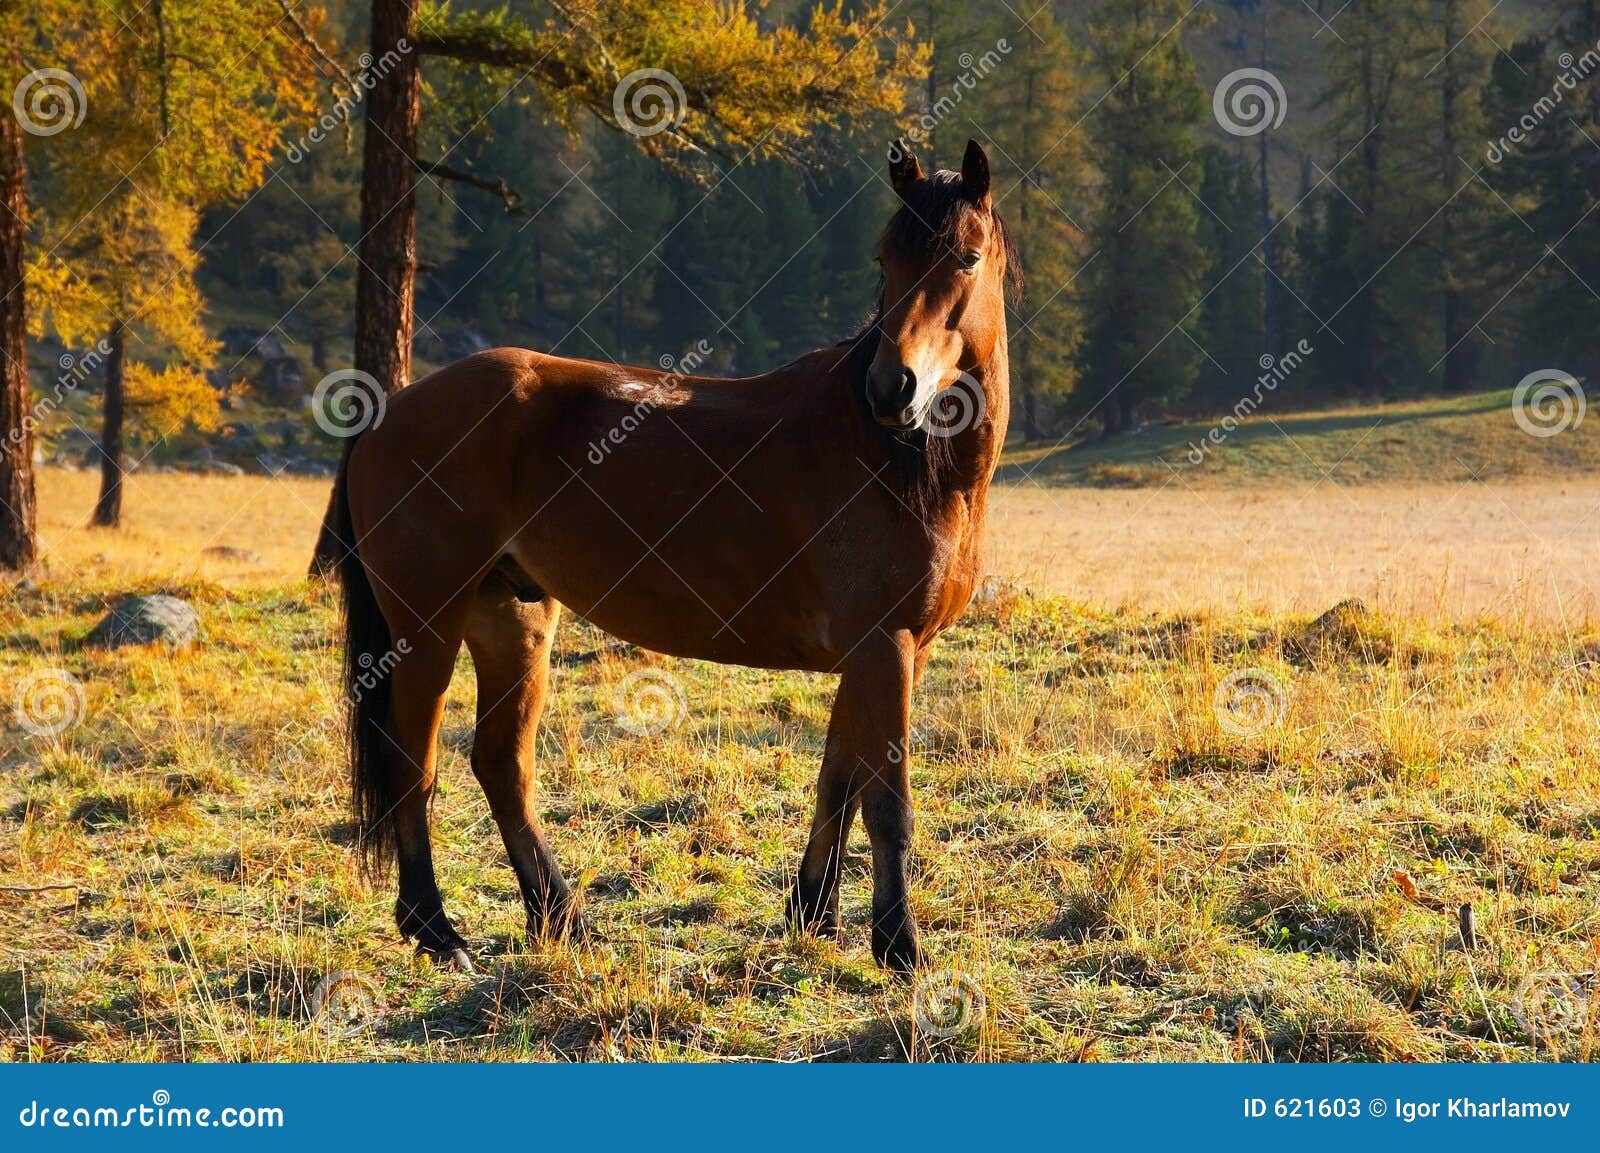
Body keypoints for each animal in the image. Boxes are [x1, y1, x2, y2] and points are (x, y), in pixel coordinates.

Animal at [334, 138, 1019, 974]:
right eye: (886, 257)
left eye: (966, 256)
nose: (894, 389)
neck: (901, 460)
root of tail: (387, 410)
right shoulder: (883, 645)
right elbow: (886, 800)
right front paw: (899, 945)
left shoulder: (883, 652)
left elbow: (839, 780)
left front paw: (813, 916)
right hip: (426, 627)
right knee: (413, 763)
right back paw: (437, 929)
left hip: (511, 618)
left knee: (501, 763)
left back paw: (560, 916)